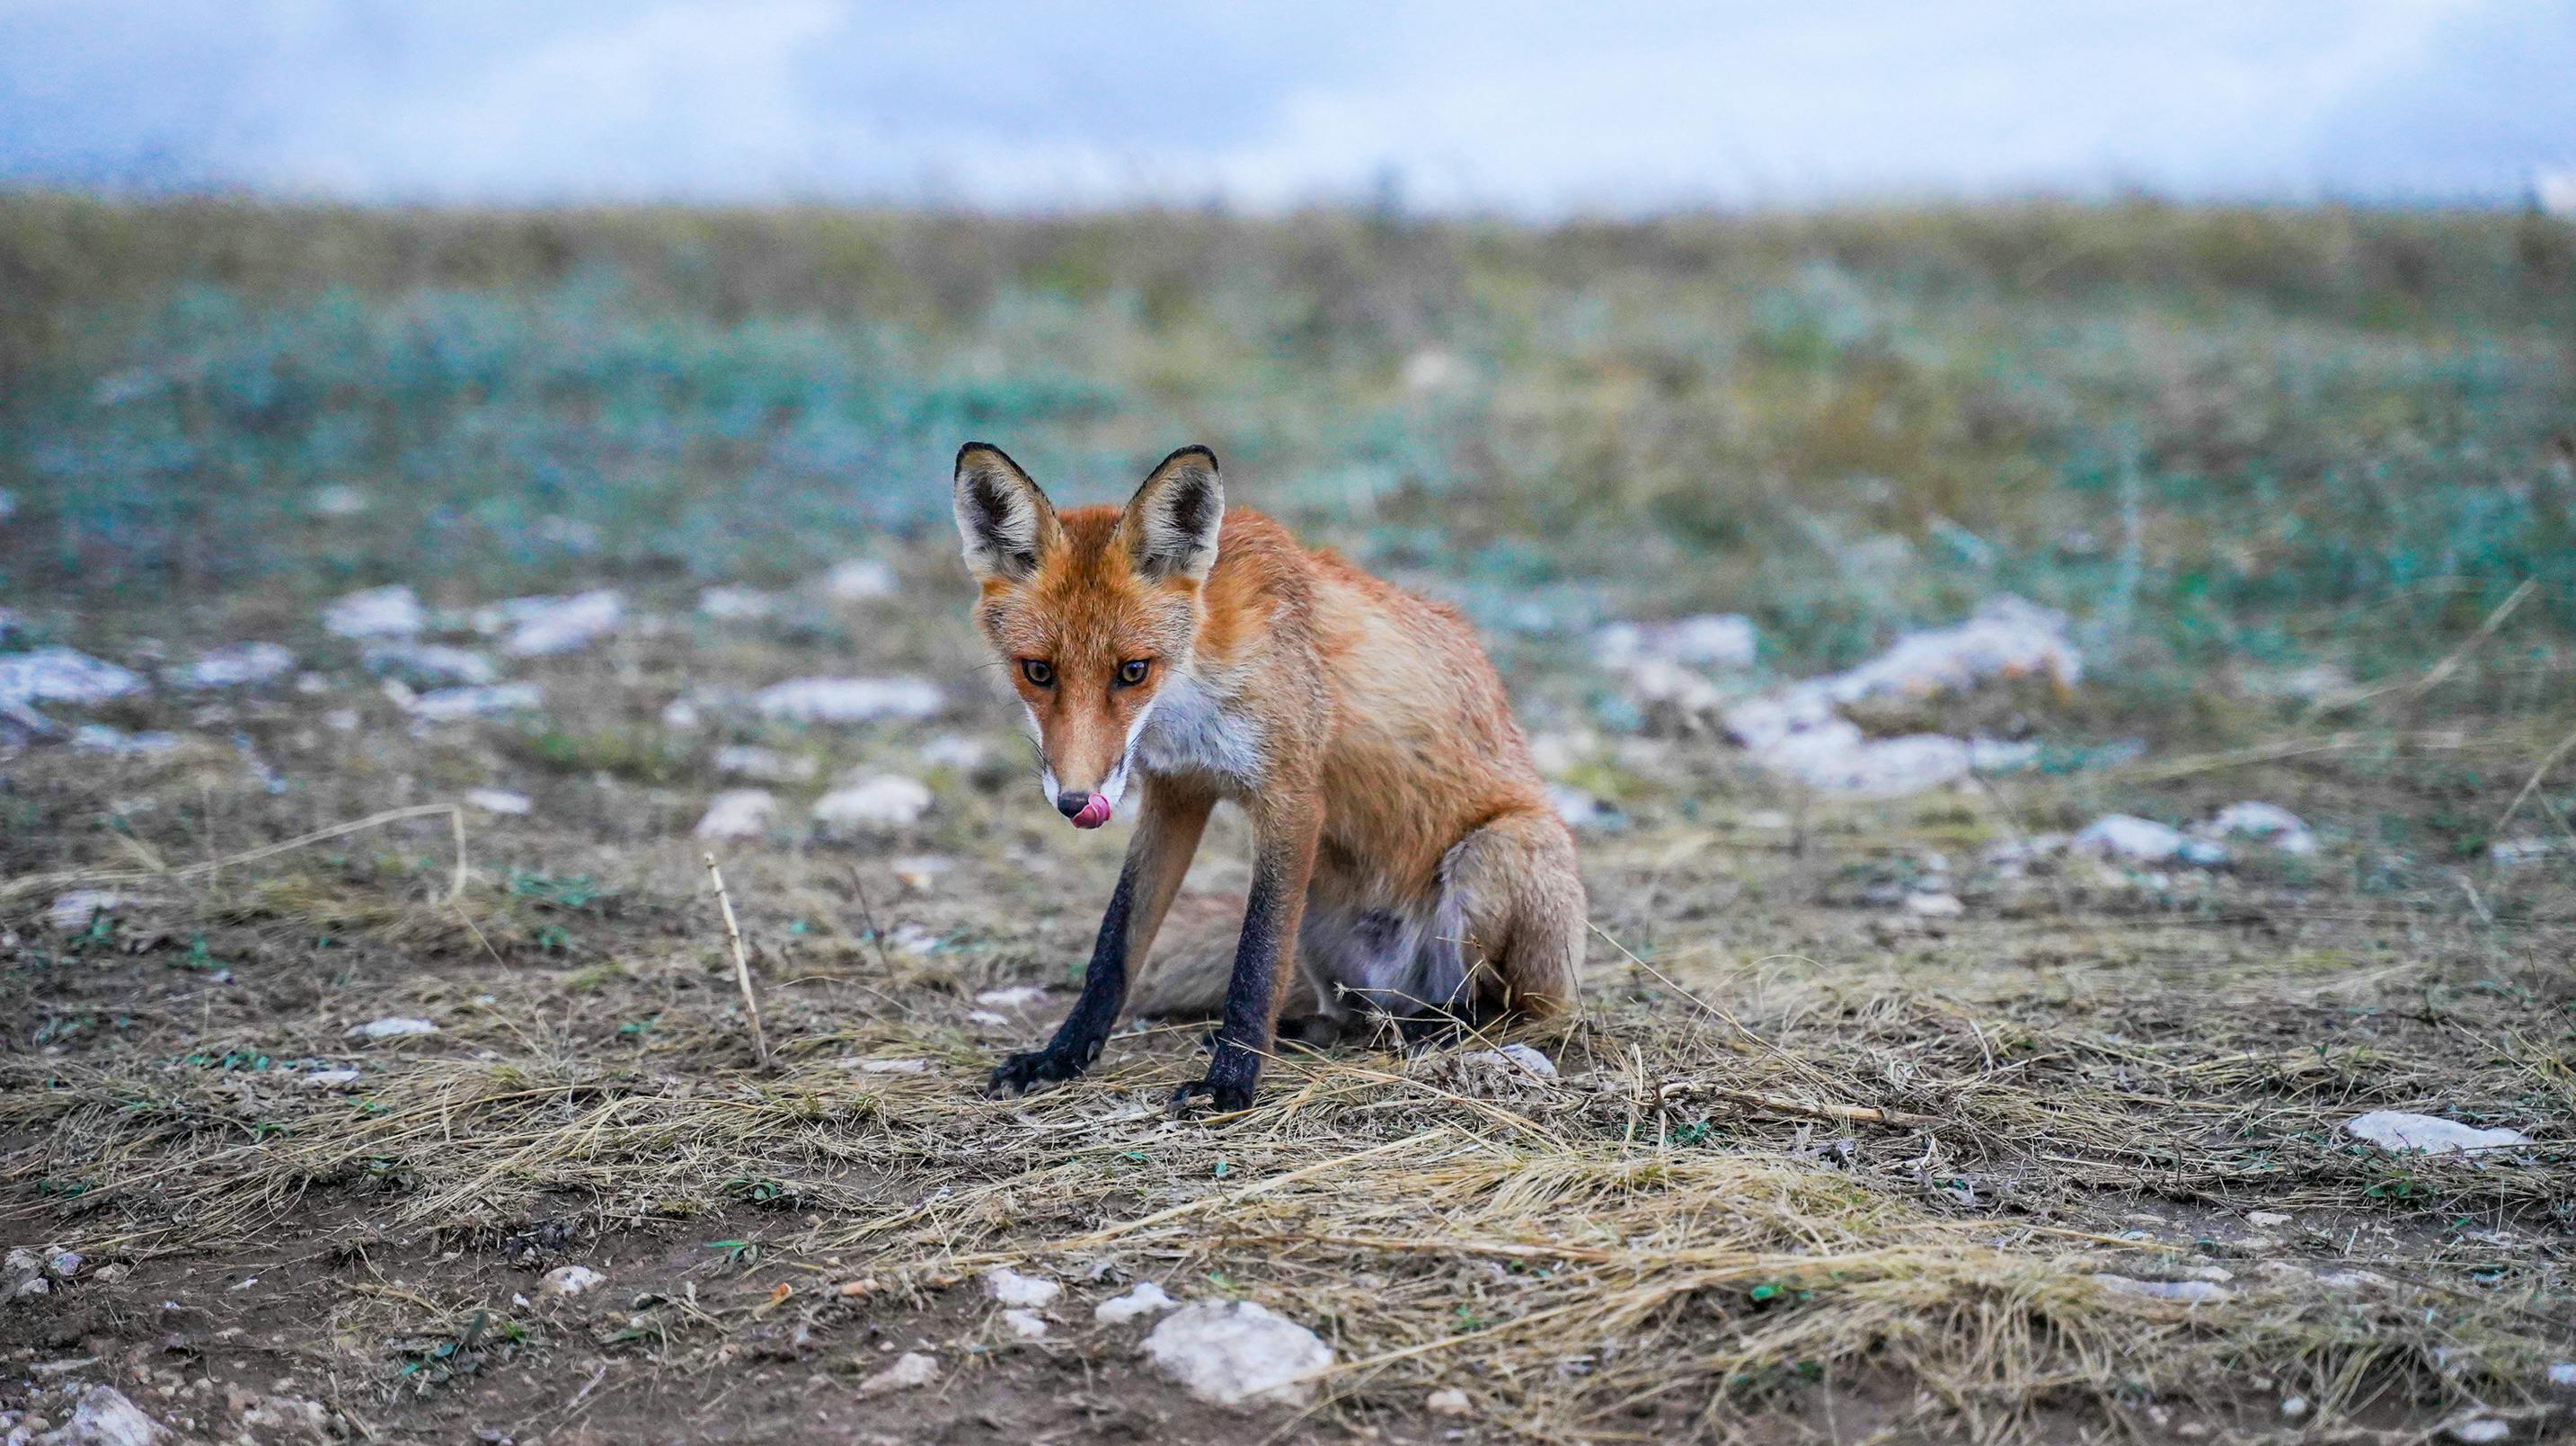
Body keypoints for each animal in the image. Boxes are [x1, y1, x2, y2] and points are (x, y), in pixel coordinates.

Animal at [951, 442, 1586, 1114]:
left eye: (1133, 670)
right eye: (1037, 671)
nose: (1076, 801)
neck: (1190, 697)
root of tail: (1403, 990)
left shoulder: (1292, 798)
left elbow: (1255, 961)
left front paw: (1230, 1081)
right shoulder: (1176, 792)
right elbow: (1113, 947)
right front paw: (1062, 1055)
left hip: (1499, 854)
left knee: (1501, 1009)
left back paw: (1437, 1029)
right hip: (1321, 920)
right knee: (1350, 1015)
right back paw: (1319, 1028)